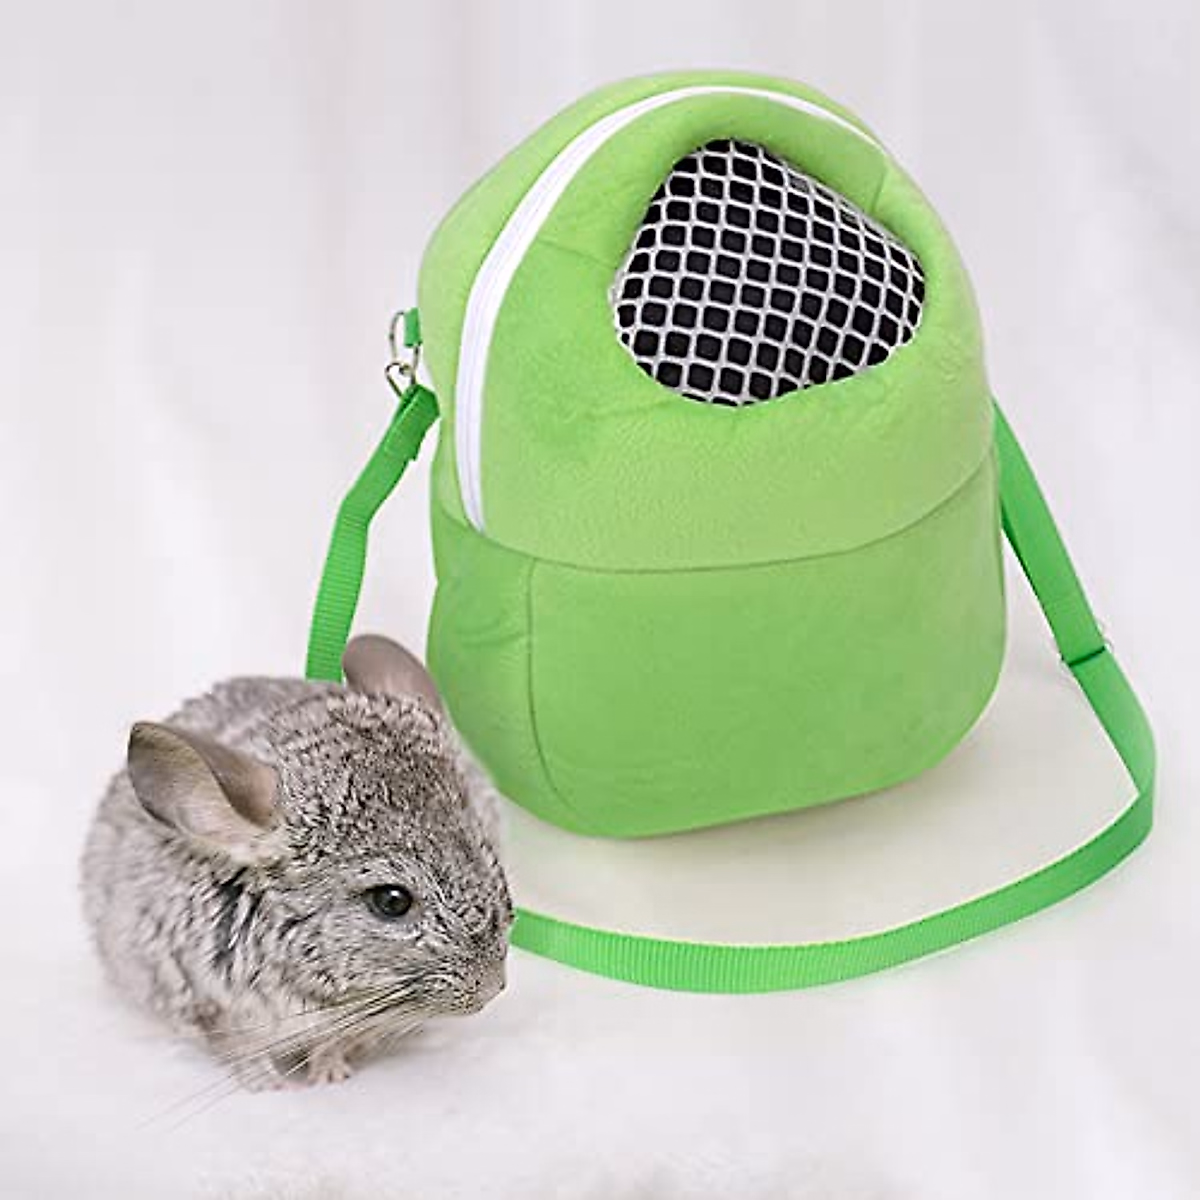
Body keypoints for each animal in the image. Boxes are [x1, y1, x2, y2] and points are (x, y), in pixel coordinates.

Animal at [80, 634, 513, 1089]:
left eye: (487, 852)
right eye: (391, 901)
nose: (493, 987)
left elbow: (332, 1042)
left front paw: (331, 1075)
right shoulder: (210, 1003)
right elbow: (243, 1049)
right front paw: (267, 1086)